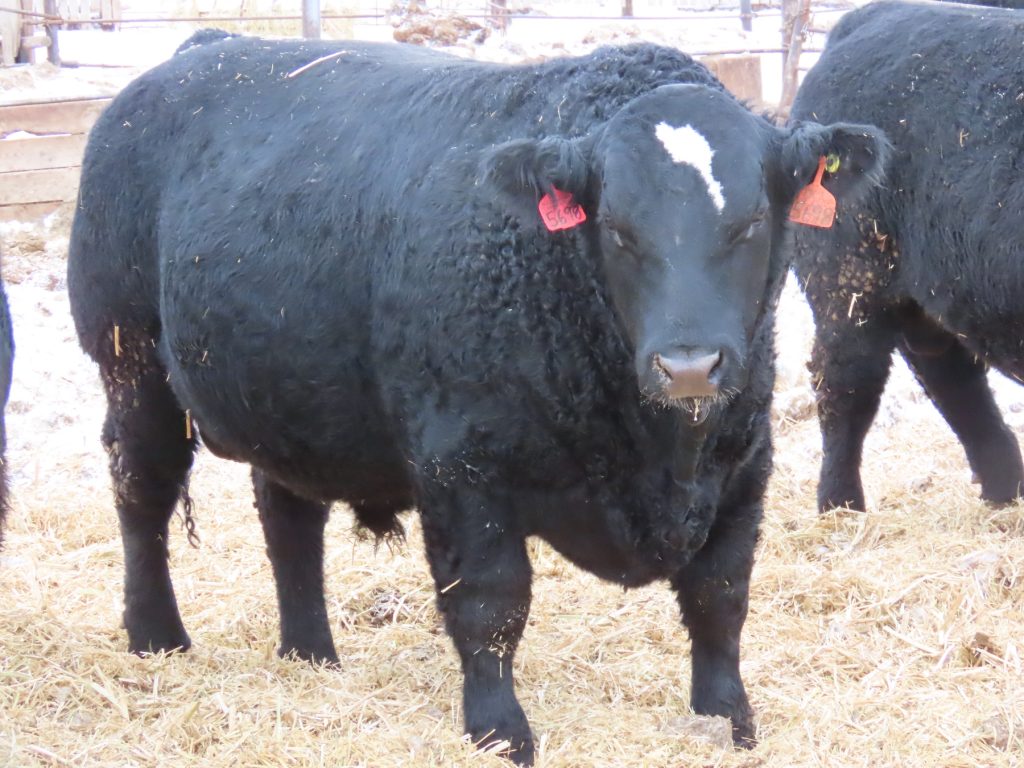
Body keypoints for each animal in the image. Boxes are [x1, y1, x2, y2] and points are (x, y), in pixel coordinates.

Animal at [67, 35, 886, 763]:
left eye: (750, 222)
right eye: (618, 230)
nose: (689, 366)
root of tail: (201, 51)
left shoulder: (744, 461)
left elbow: (720, 595)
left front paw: (728, 719)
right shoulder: (463, 469)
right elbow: (491, 604)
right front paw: (500, 732)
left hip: (290, 401)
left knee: (288, 519)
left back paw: (310, 653)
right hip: (132, 367)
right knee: (141, 493)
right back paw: (156, 636)